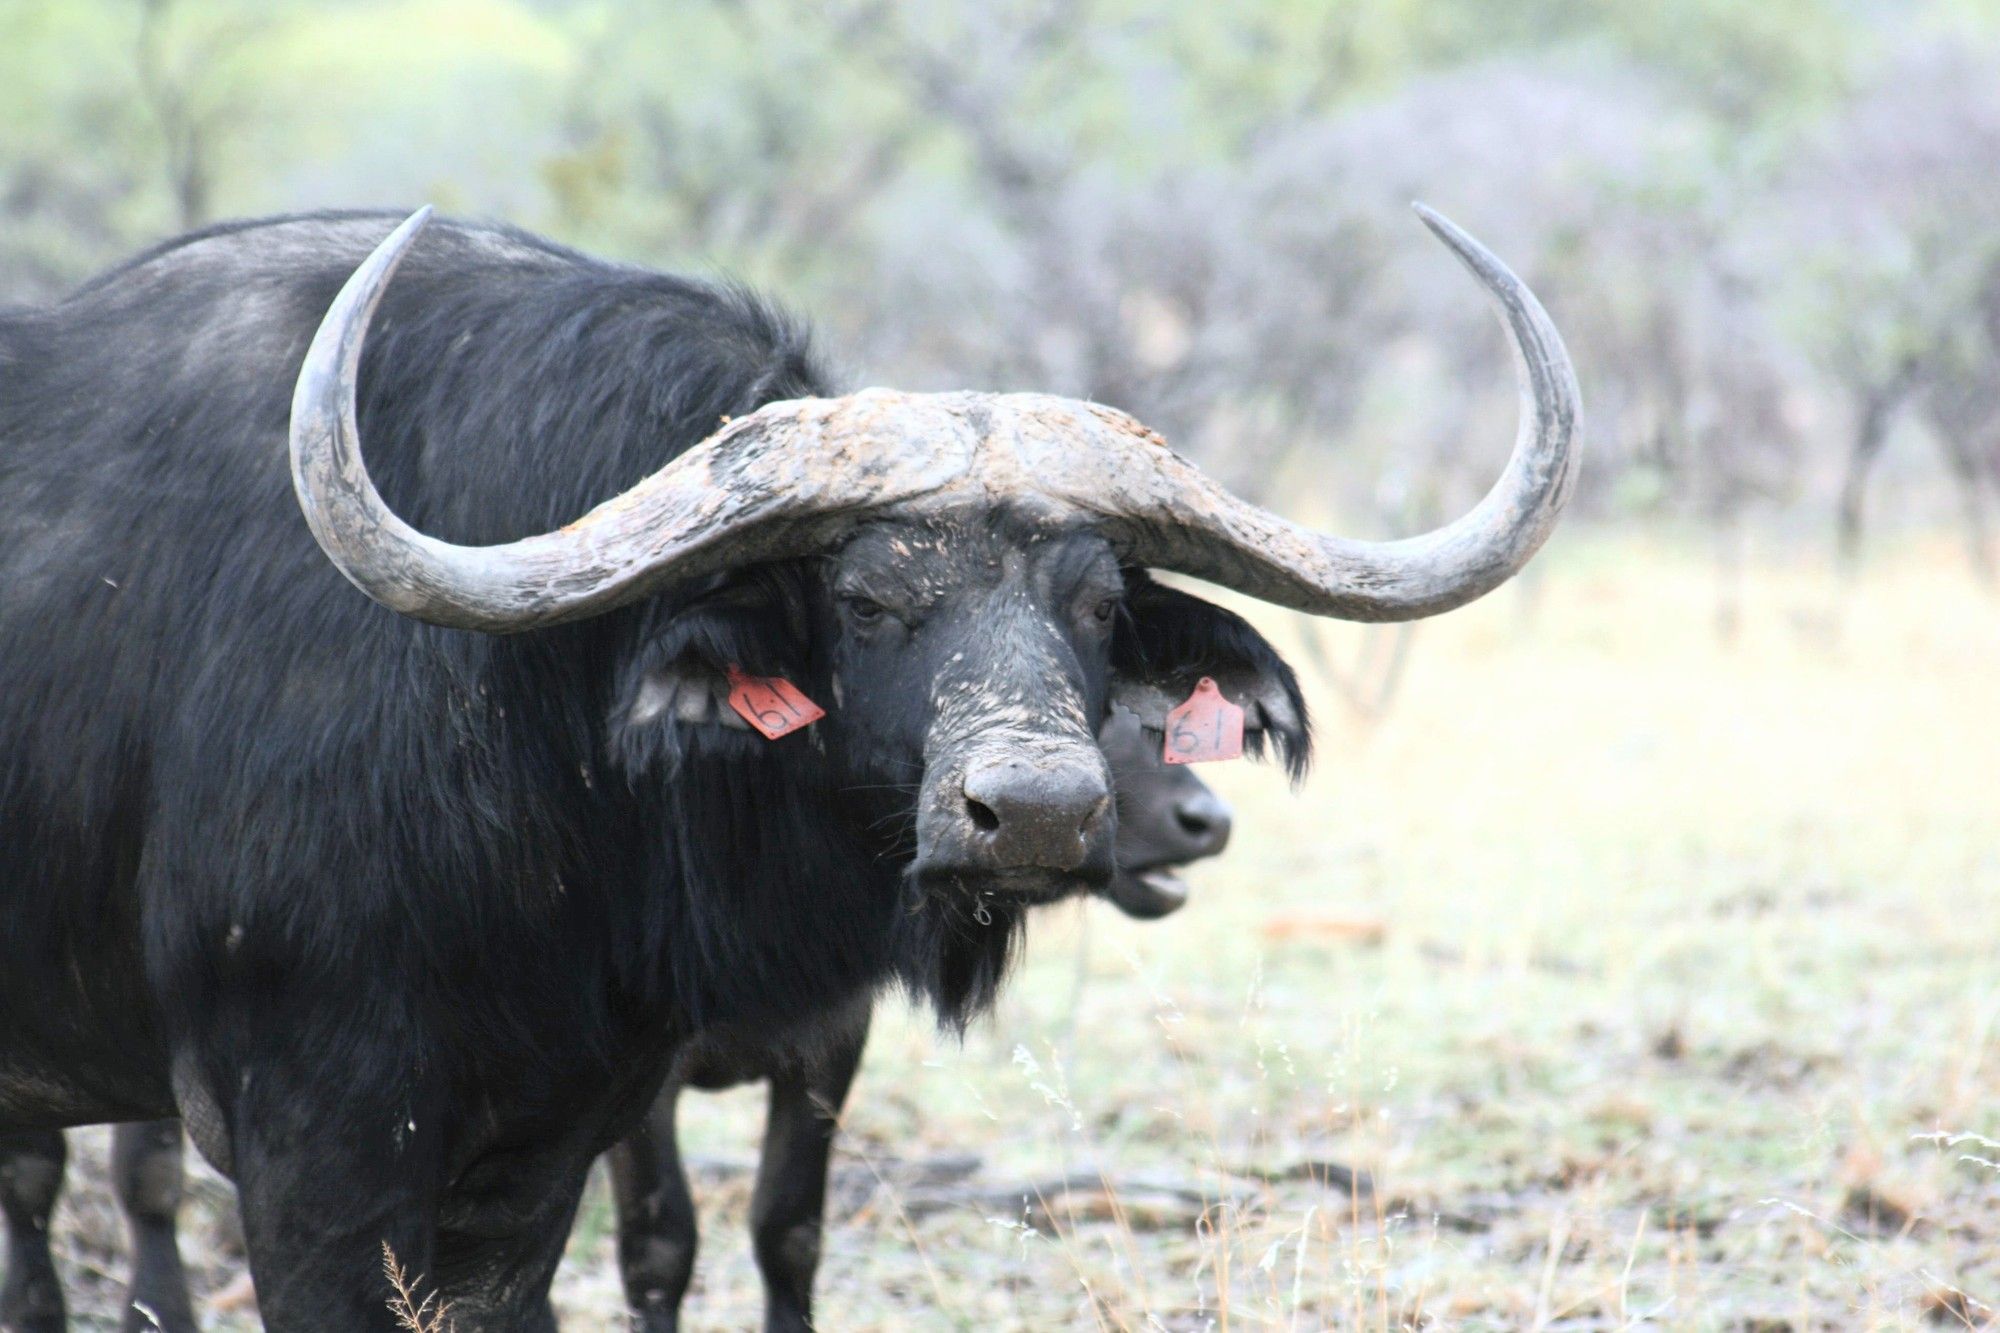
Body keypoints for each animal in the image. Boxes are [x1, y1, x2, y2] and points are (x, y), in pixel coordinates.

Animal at [0, 204, 1577, 1329]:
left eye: (1097, 606)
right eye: (866, 600)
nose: (1035, 812)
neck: (533, 725)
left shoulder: (534, 1160)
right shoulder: (312, 1159)